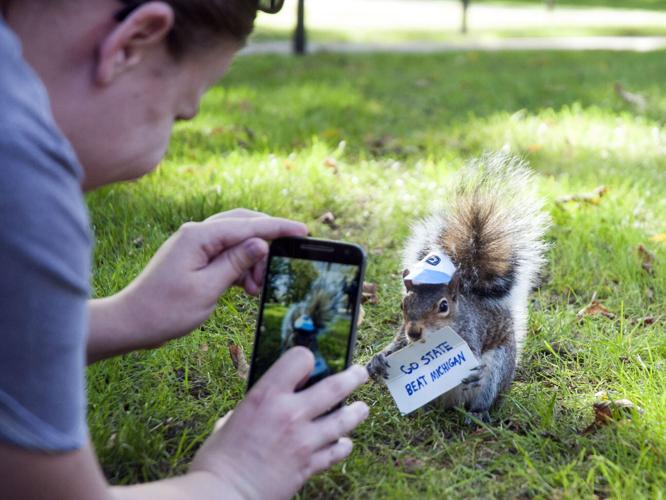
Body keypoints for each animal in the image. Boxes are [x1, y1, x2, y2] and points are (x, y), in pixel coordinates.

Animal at [367, 153, 550, 422]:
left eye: (443, 306)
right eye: (403, 304)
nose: (414, 332)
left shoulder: (471, 333)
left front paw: (474, 371)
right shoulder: (402, 336)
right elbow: (395, 347)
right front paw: (376, 362)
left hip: (498, 371)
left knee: (485, 396)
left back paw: (478, 414)